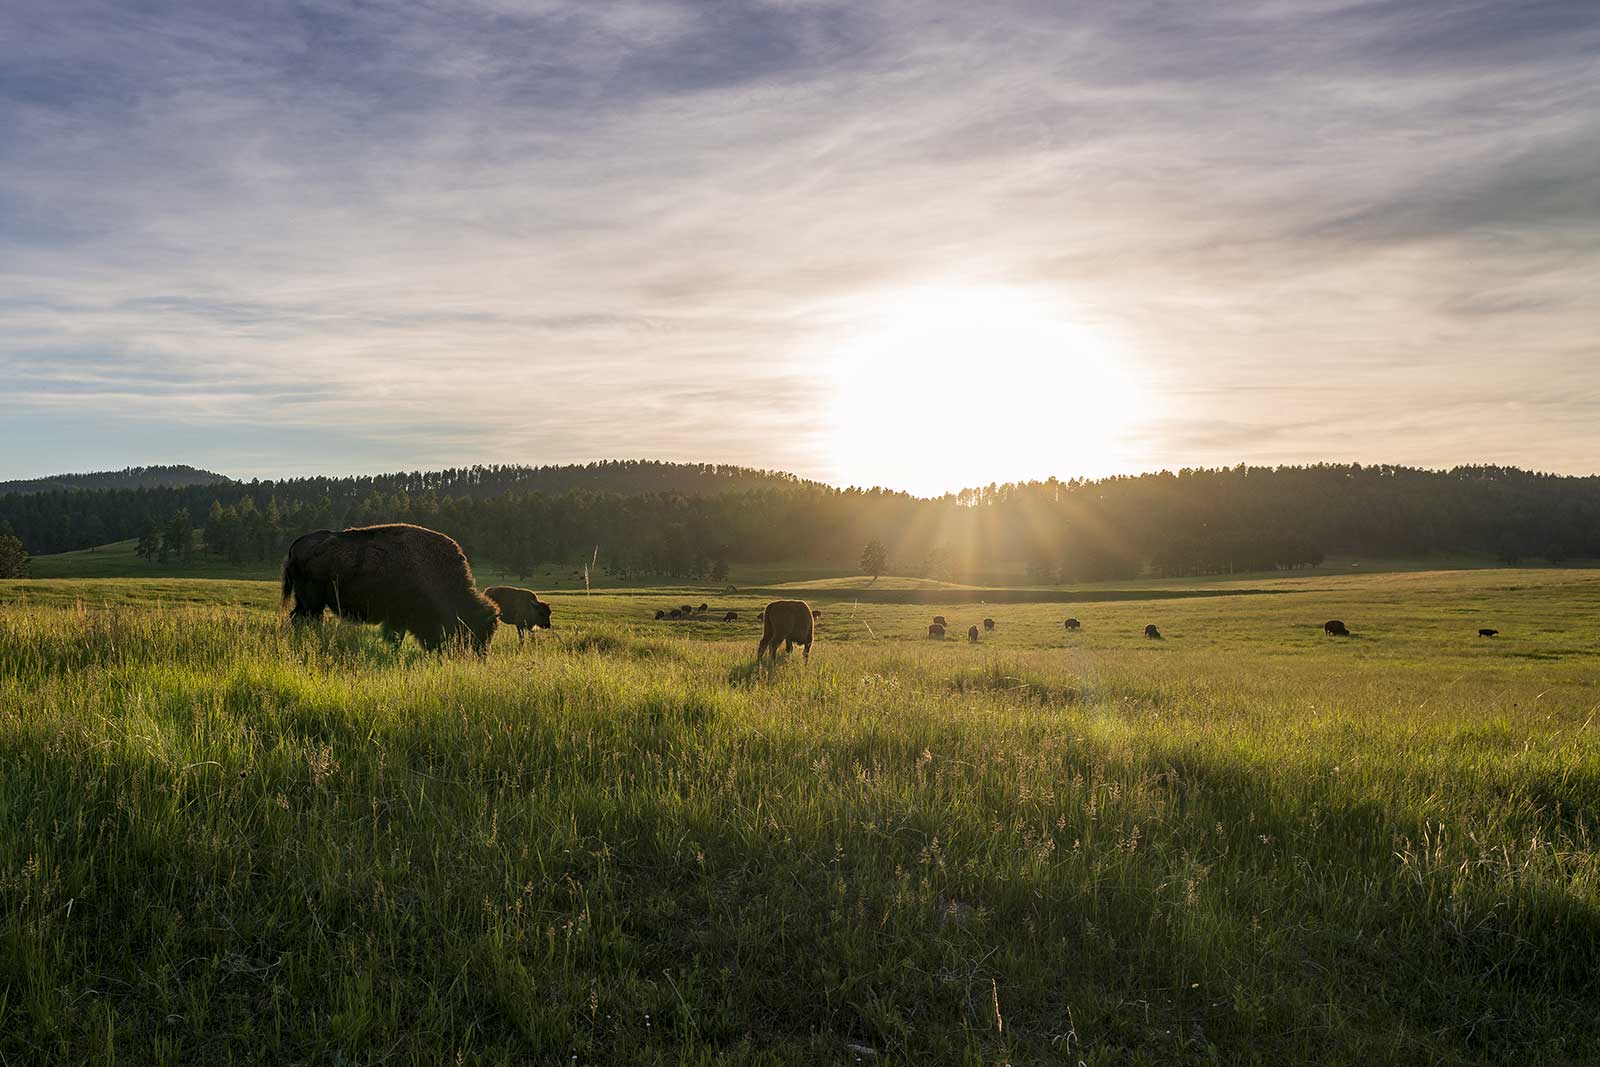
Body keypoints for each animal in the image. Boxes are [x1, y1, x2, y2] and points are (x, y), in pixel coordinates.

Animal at [281, 523, 498, 655]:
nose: (480, 656)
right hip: (311, 603)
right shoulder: (397, 618)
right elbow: (395, 638)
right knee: (306, 619)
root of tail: (295, 546)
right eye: (475, 629)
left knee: (300, 618)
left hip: (308, 603)